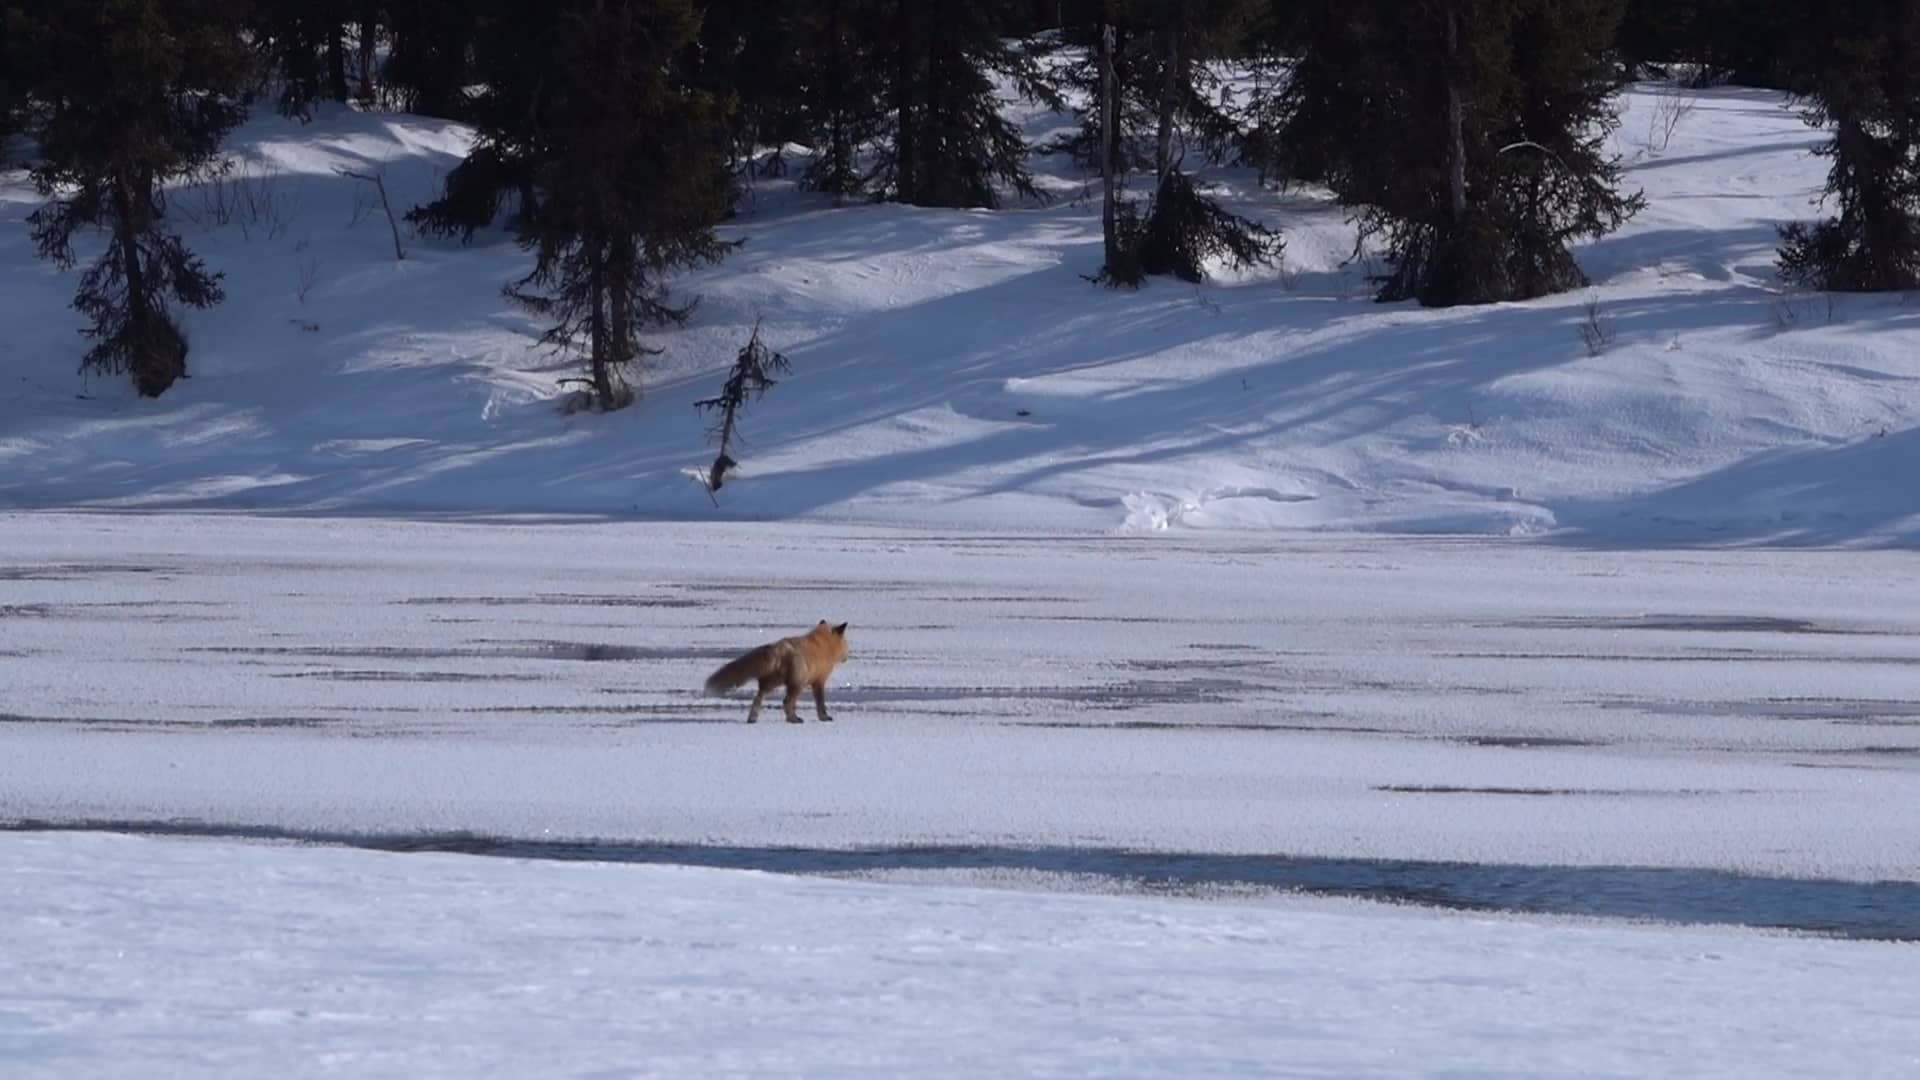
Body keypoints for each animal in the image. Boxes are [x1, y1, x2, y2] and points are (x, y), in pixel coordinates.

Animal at [703, 620, 850, 724]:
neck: (825, 645)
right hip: (797, 684)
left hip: (773, 682)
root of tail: (779, 649)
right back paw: (793, 719)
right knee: (786, 701)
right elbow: (820, 703)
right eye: (847, 644)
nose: (847, 657)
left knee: (759, 697)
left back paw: (753, 718)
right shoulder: (819, 680)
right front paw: (824, 717)